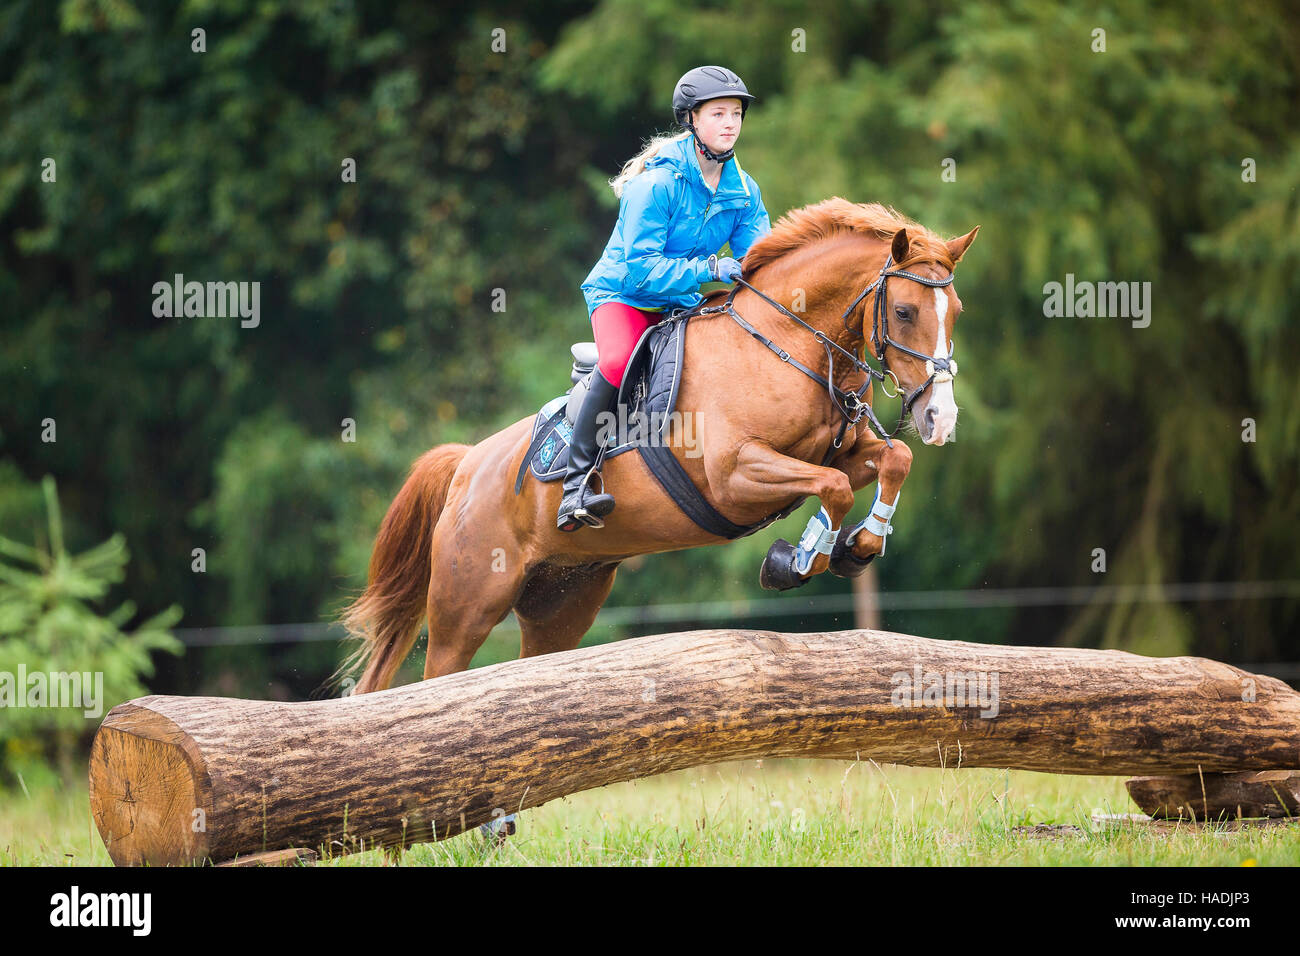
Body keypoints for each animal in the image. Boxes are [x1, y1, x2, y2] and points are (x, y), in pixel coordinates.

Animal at [340, 197, 979, 695]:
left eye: (957, 312)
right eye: (903, 311)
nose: (941, 417)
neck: (785, 343)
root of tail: (465, 467)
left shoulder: (837, 451)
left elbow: (893, 460)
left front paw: (861, 545)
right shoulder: (734, 477)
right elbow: (836, 488)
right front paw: (798, 559)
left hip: (563, 602)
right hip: (465, 605)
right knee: (438, 680)